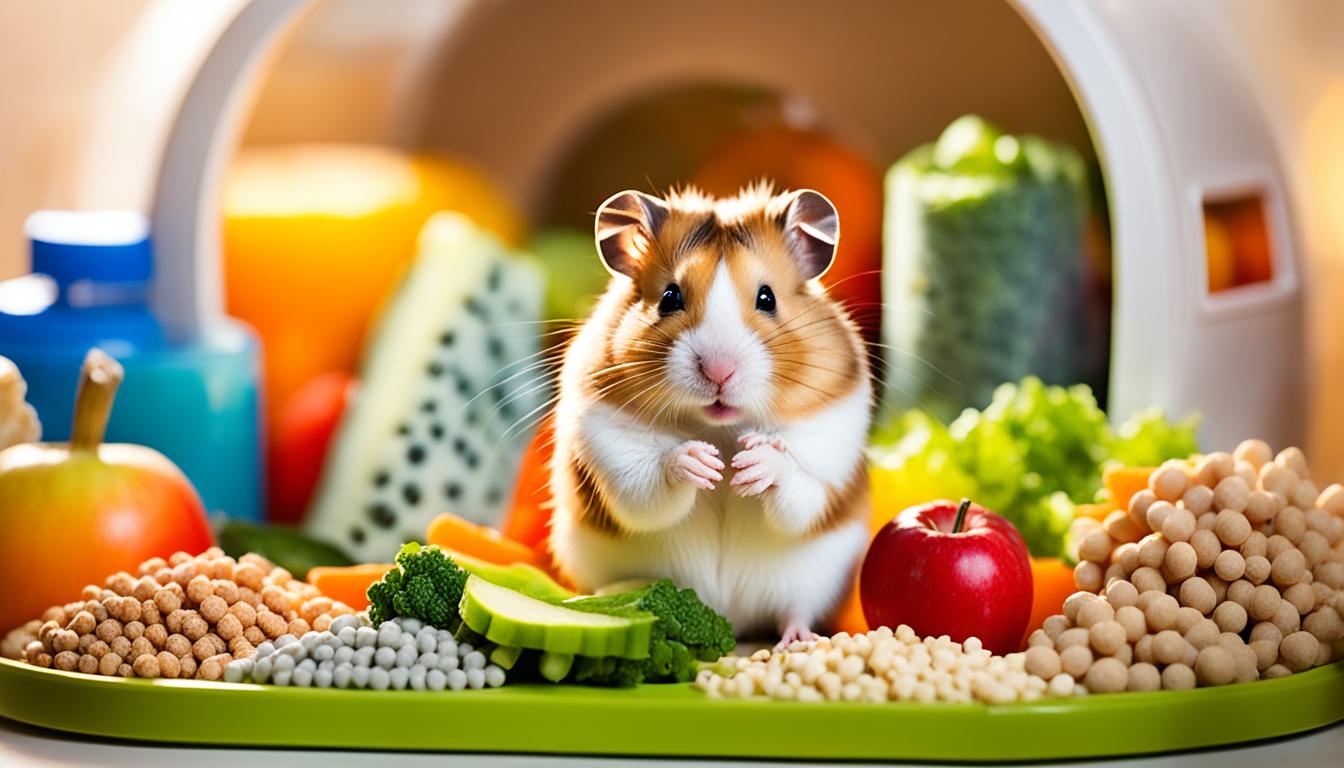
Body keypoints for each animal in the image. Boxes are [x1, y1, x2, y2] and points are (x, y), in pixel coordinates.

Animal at [549, 183, 872, 645]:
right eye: (670, 297)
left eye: (767, 297)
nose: (719, 370)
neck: (719, 427)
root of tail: (731, 623)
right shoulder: (611, 444)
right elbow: (645, 489)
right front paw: (700, 462)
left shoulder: (831, 453)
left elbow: (801, 490)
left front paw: (754, 463)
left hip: (813, 579)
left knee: (795, 610)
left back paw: (797, 640)